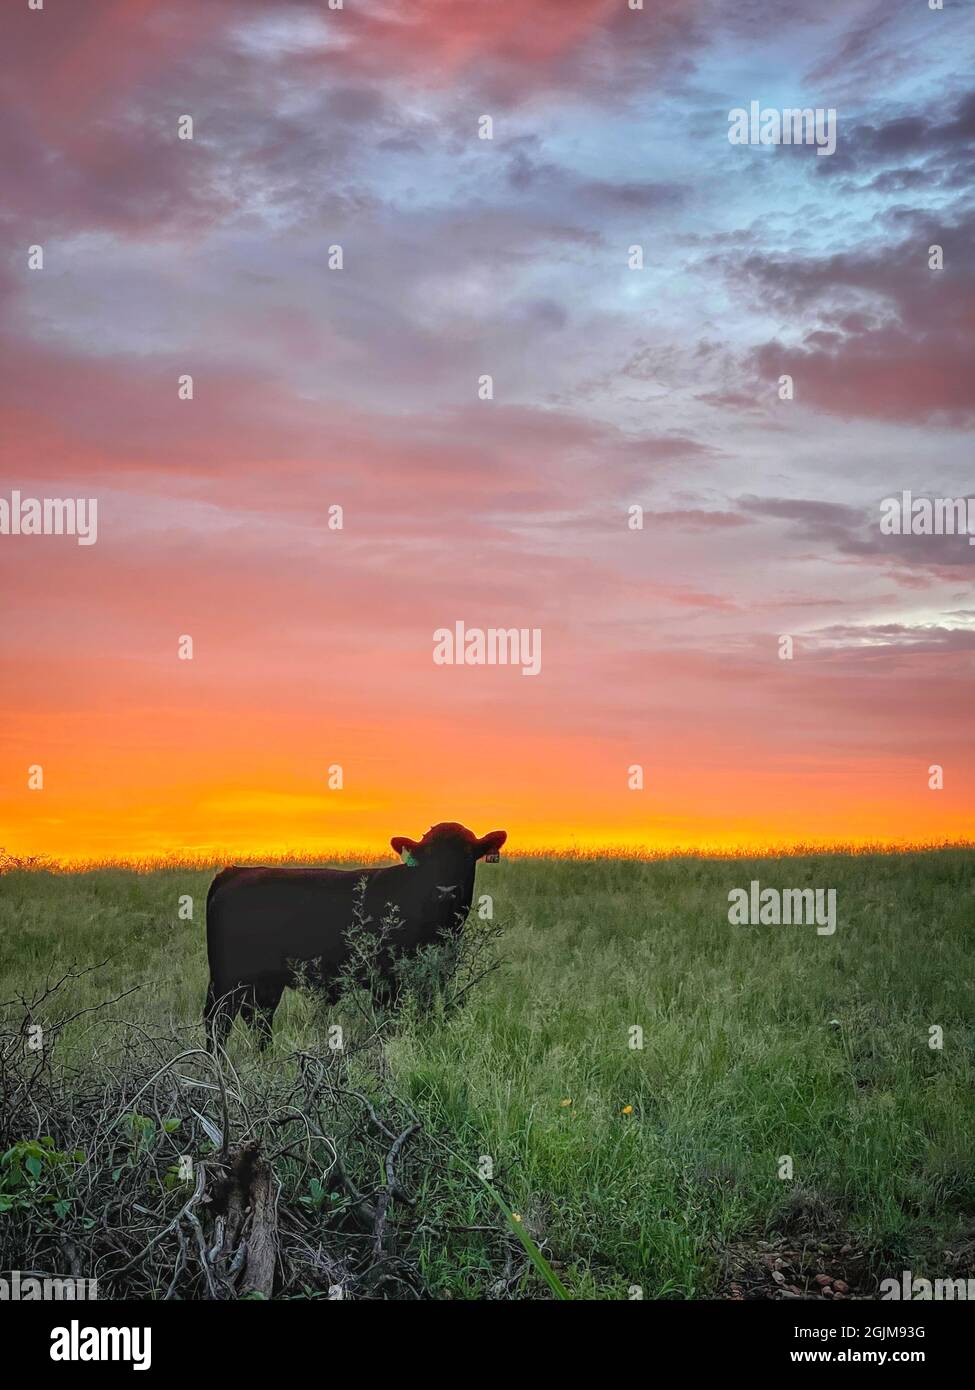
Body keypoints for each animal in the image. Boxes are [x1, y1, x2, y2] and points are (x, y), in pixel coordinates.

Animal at [204, 822, 507, 1050]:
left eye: (467, 855)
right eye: (428, 858)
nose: (445, 891)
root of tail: (234, 873)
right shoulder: (386, 984)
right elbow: (387, 1027)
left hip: (263, 983)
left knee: (258, 1020)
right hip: (226, 980)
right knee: (217, 1022)